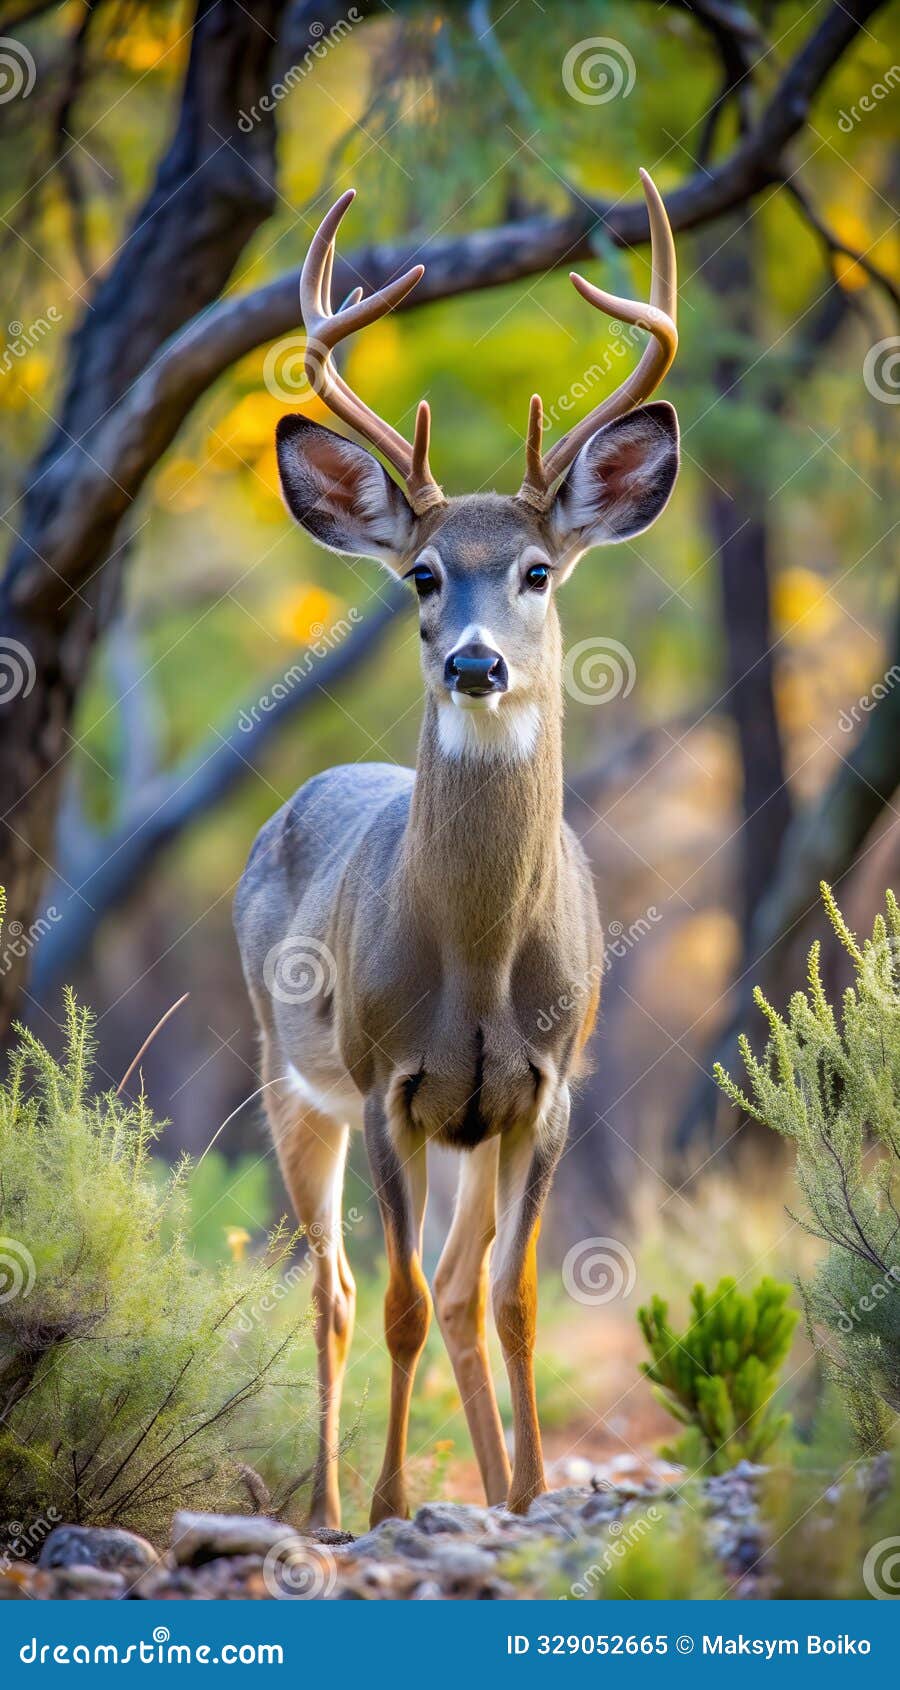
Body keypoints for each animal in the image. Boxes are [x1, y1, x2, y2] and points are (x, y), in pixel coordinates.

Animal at [234, 170, 679, 1530]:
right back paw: (329, 1506)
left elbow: (516, 1301)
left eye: (537, 570)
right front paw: (386, 1507)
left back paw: (487, 1482)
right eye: (424, 575)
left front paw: (530, 1493)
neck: (478, 962)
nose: (476, 662)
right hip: (289, 1077)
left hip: (470, 1129)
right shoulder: (388, 1080)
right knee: (336, 1292)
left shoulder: (547, 1086)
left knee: (470, 1287)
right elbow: (400, 1302)